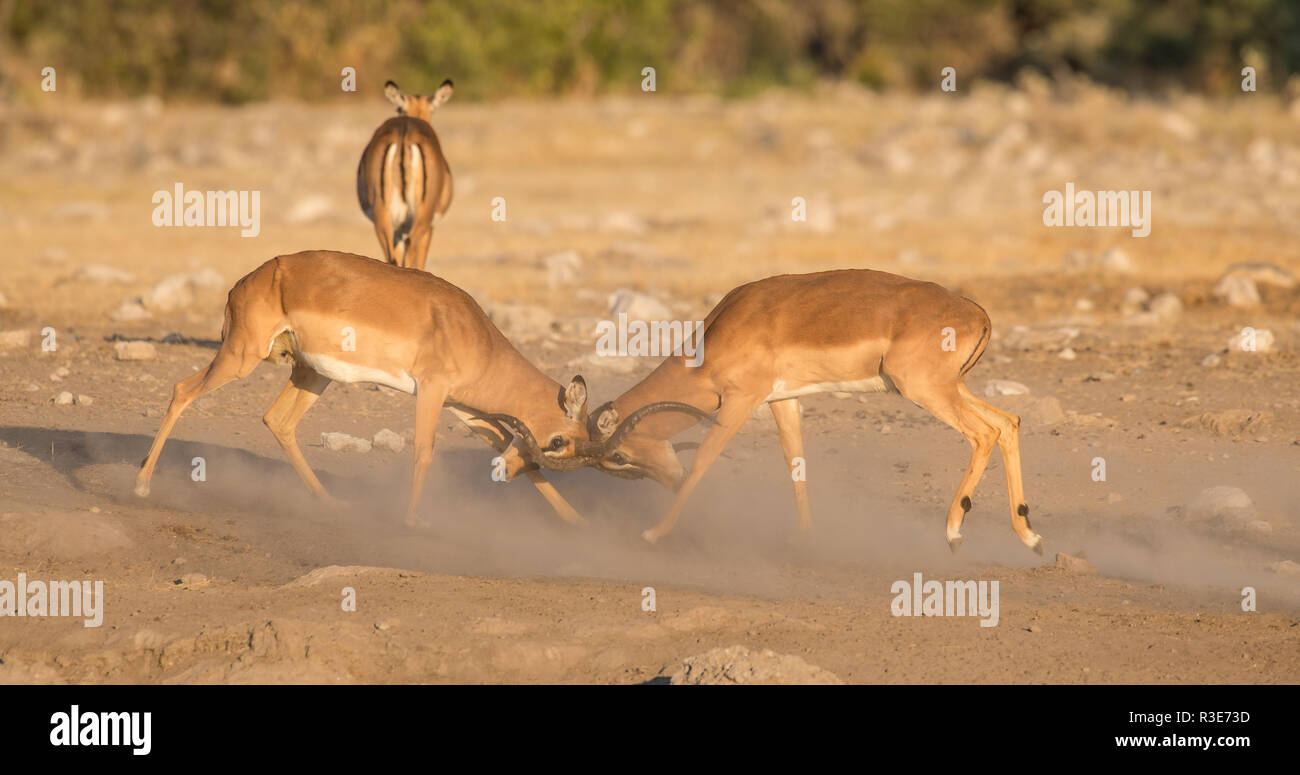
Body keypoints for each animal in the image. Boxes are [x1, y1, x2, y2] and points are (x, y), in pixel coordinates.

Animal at [134, 250, 607, 527]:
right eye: (558, 440)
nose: (502, 476)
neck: (473, 334)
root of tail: (246, 281)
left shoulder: (465, 408)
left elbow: (506, 449)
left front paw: (579, 523)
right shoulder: (431, 390)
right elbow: (423, 451)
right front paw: (413, 521)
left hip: (312, 374)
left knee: (277, 422)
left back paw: (330, 505)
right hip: (241, 357)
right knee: (182, 390)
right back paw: (141, 485)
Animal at [357, 79, 454, 271]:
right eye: (399, 108)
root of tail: (404, 132)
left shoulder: (398, 229)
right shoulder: (430, 226)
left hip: (383, 218)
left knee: (392, 256)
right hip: (421, 217)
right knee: (410, 249)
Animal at [582, 269, 1044, 554]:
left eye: (618, 456)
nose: (669, 480)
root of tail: (976, 311)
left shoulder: (741, 399)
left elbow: (704, 459)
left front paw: (654, 532)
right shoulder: (782, 400)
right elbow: (795, 463)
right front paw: (804, 538)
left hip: (927, 390)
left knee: (984, 433)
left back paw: (953, 535)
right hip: (951, 388)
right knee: (1008, 423)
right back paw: (1030, 537)